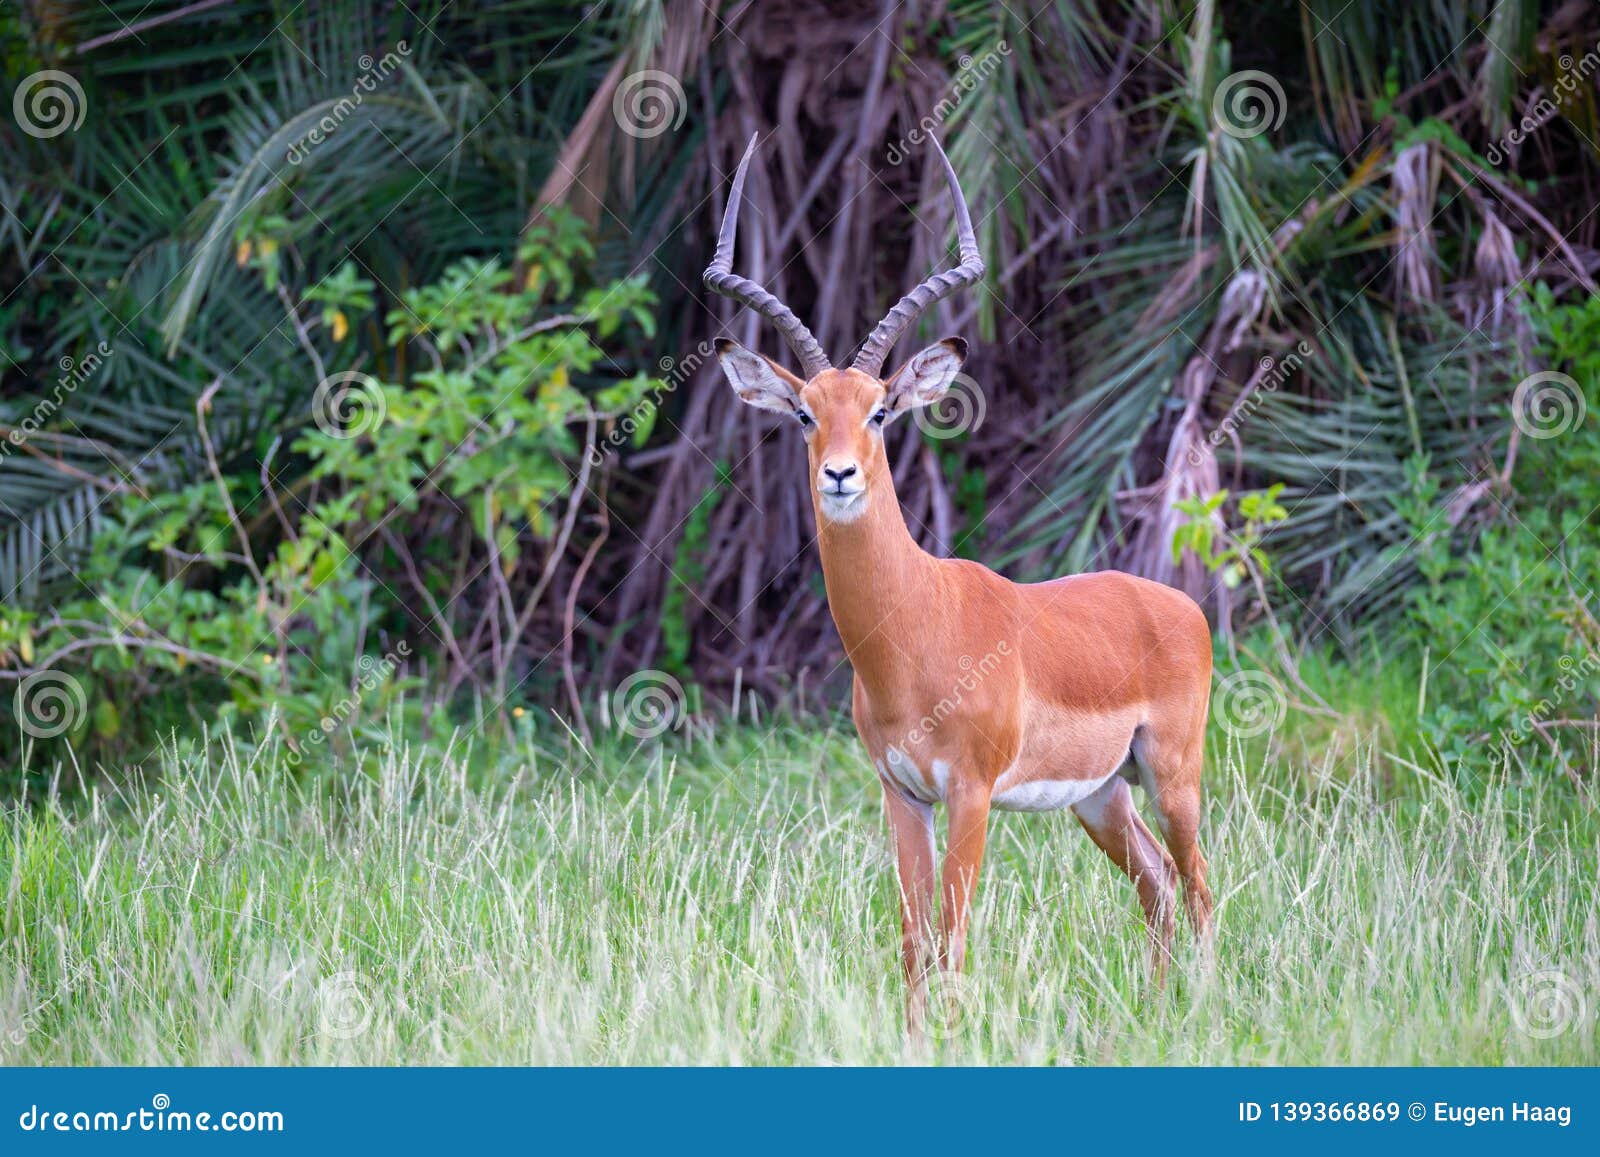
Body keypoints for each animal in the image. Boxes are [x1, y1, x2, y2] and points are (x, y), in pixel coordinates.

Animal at [705, 134, 1214, 1031]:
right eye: (805, 412)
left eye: (879, 410)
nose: (839, 474)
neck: (912, 633)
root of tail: (1178, 604)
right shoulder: (900, 794)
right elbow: (913, 940)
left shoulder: (971, 794)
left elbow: (952, 936)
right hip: (1103, 796)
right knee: (1156, 887)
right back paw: (1156, 1015)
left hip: (1172, 777)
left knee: (1199, 890)